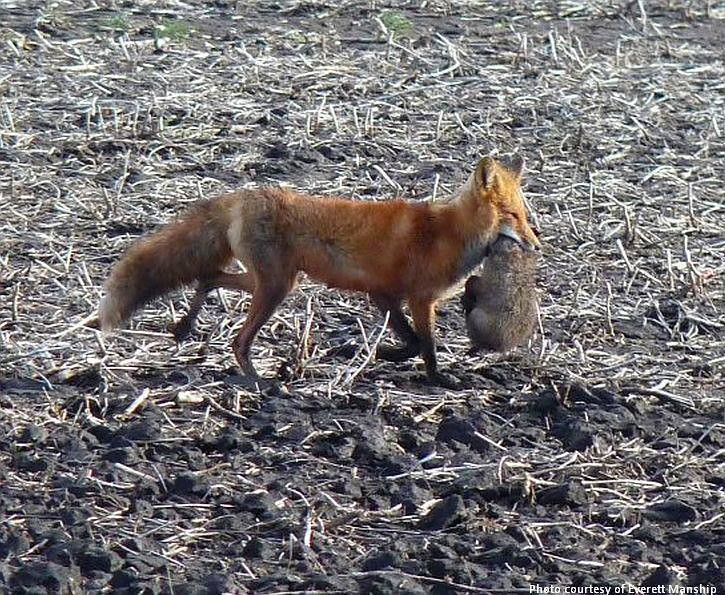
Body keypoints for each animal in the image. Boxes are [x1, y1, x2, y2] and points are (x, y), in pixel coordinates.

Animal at [99, 155, 540, 389]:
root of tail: (244, 194)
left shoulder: (384, 296)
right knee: (238, 340)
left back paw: (184, 328)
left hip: (271, 281)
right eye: (514, 216)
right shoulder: (410, 298)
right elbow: (425, 345)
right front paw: (433, 378)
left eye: (526, 215)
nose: (537, 246)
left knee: (208, 277)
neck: (448, 233)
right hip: (275, 287)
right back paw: (259, 380)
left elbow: (413, 343)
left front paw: (387, 354)